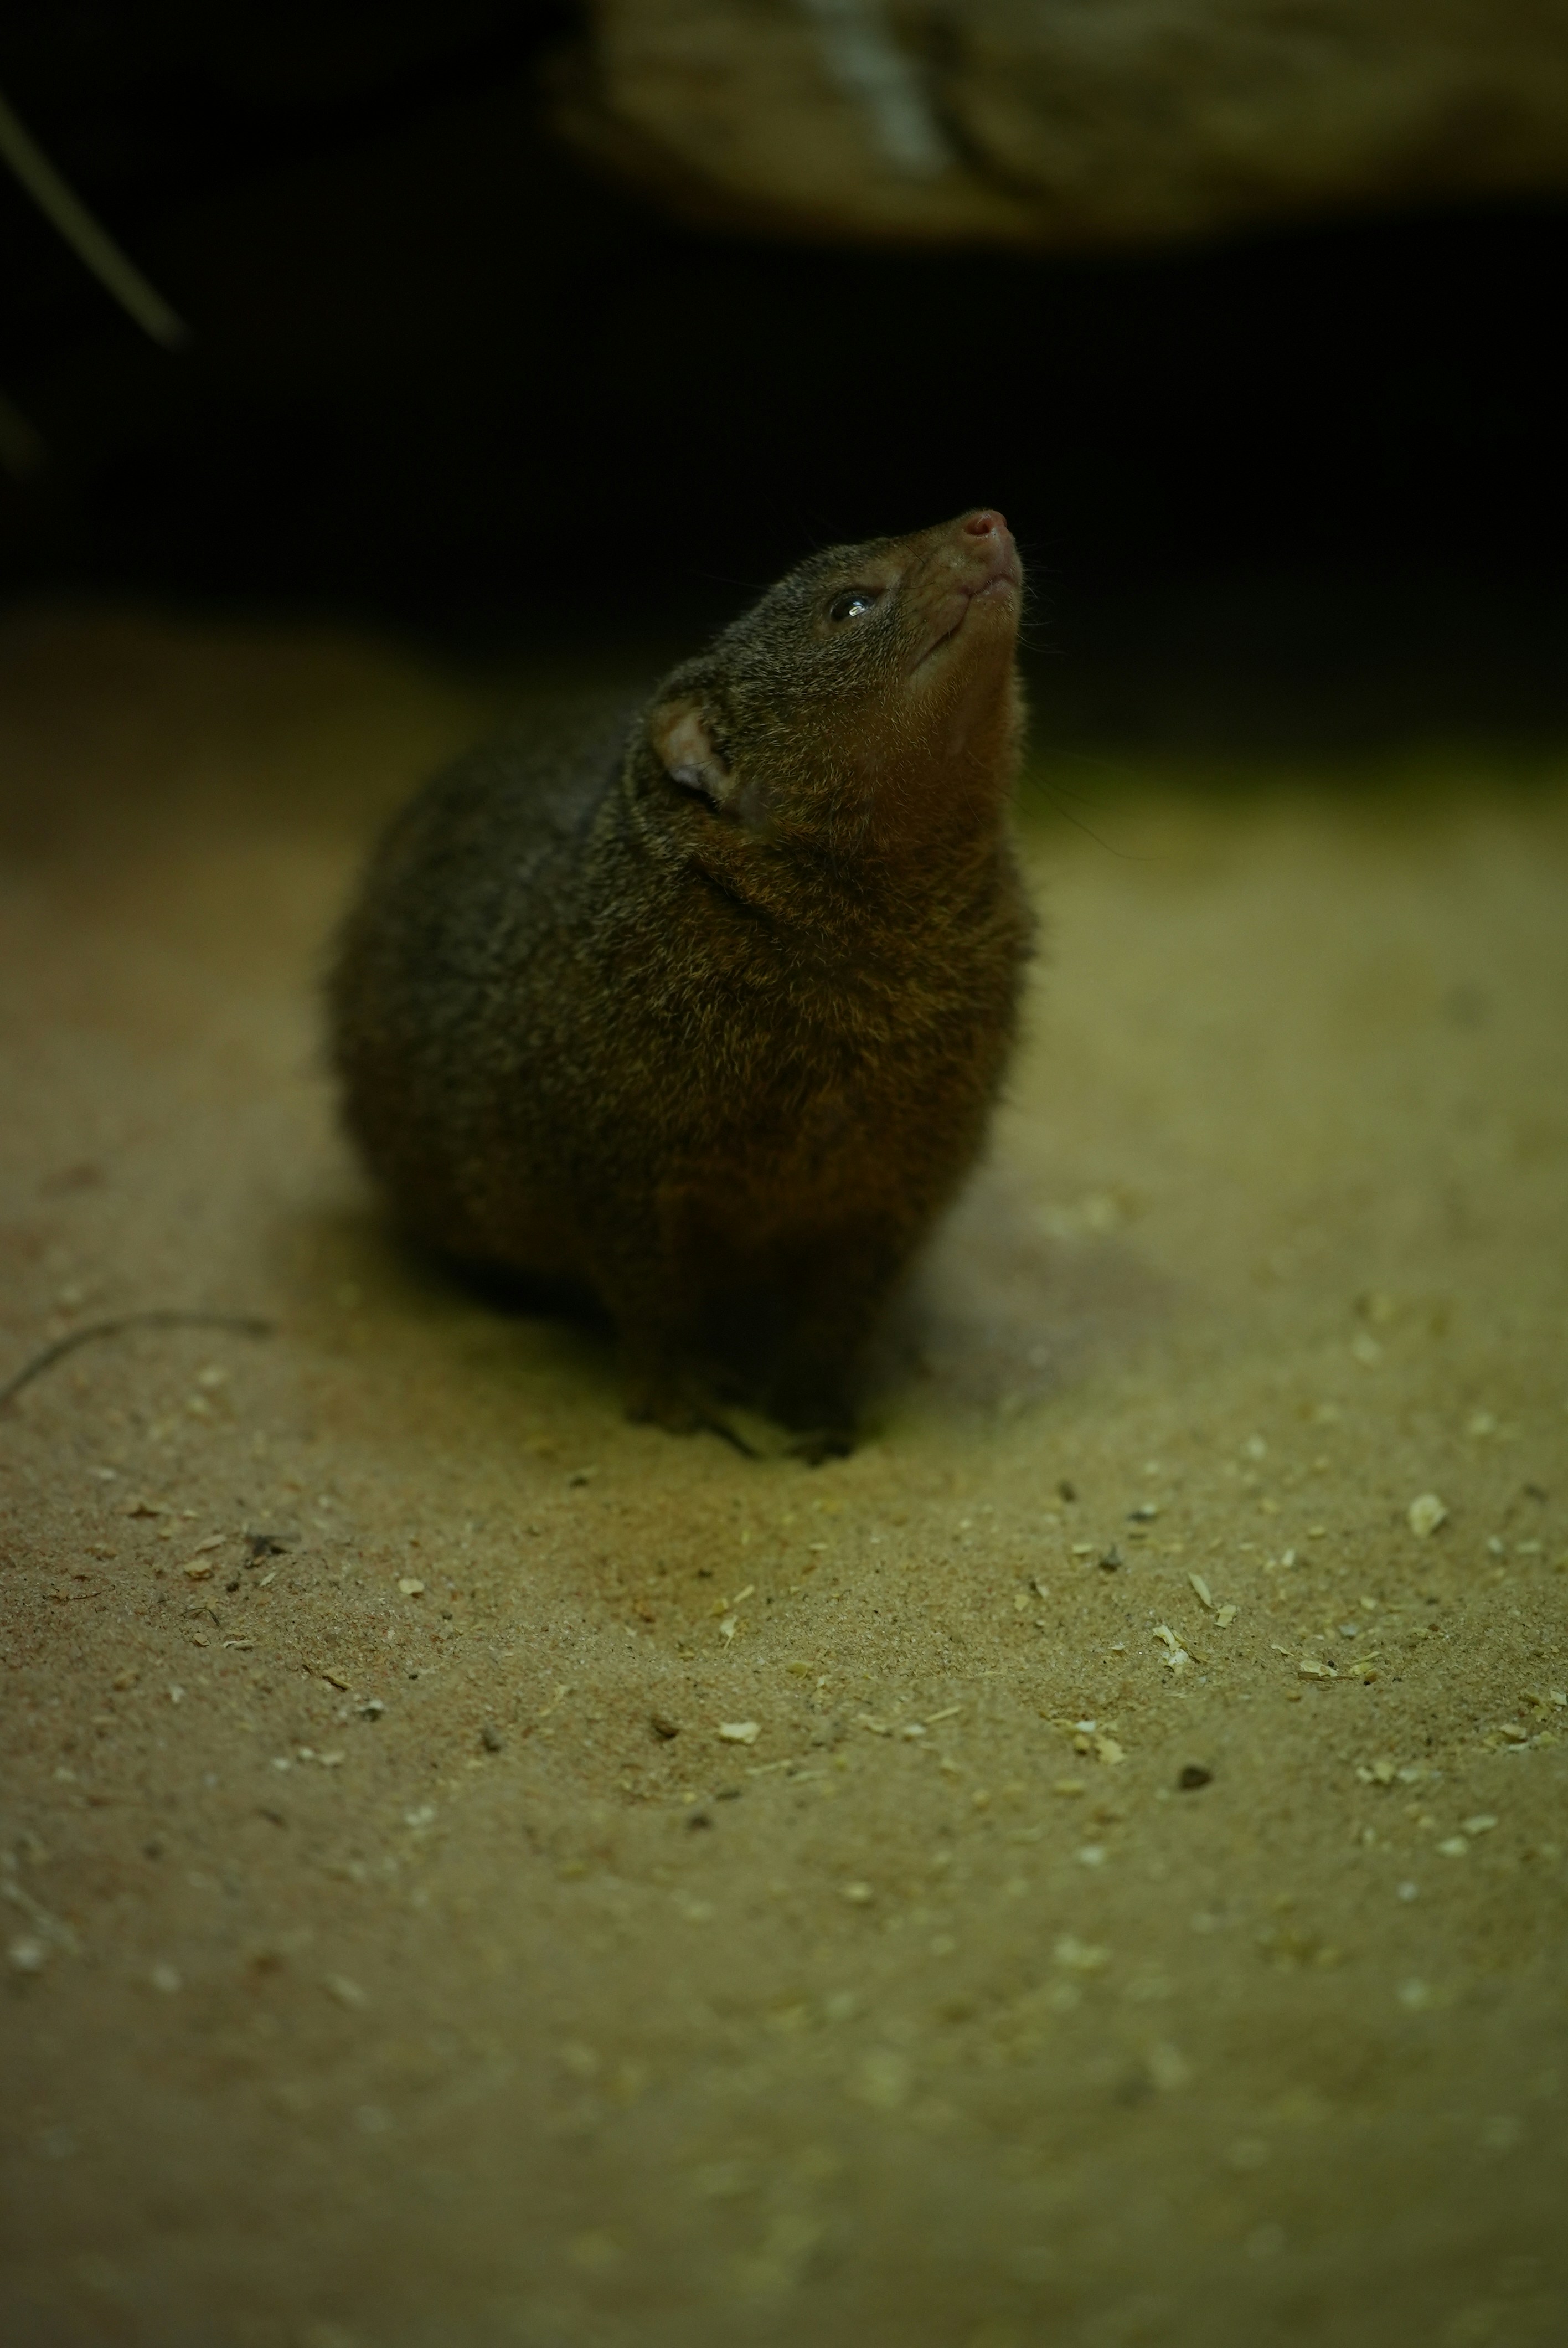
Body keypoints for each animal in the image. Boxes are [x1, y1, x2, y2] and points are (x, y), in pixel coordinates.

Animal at [329, 508, 1033, 1456]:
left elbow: (844, 1308)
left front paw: (818, 1417)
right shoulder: (601, 1156)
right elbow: (647, 1294)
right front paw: (682, 1397)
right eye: (849, 607)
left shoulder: (911, 1173)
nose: (985, 520)